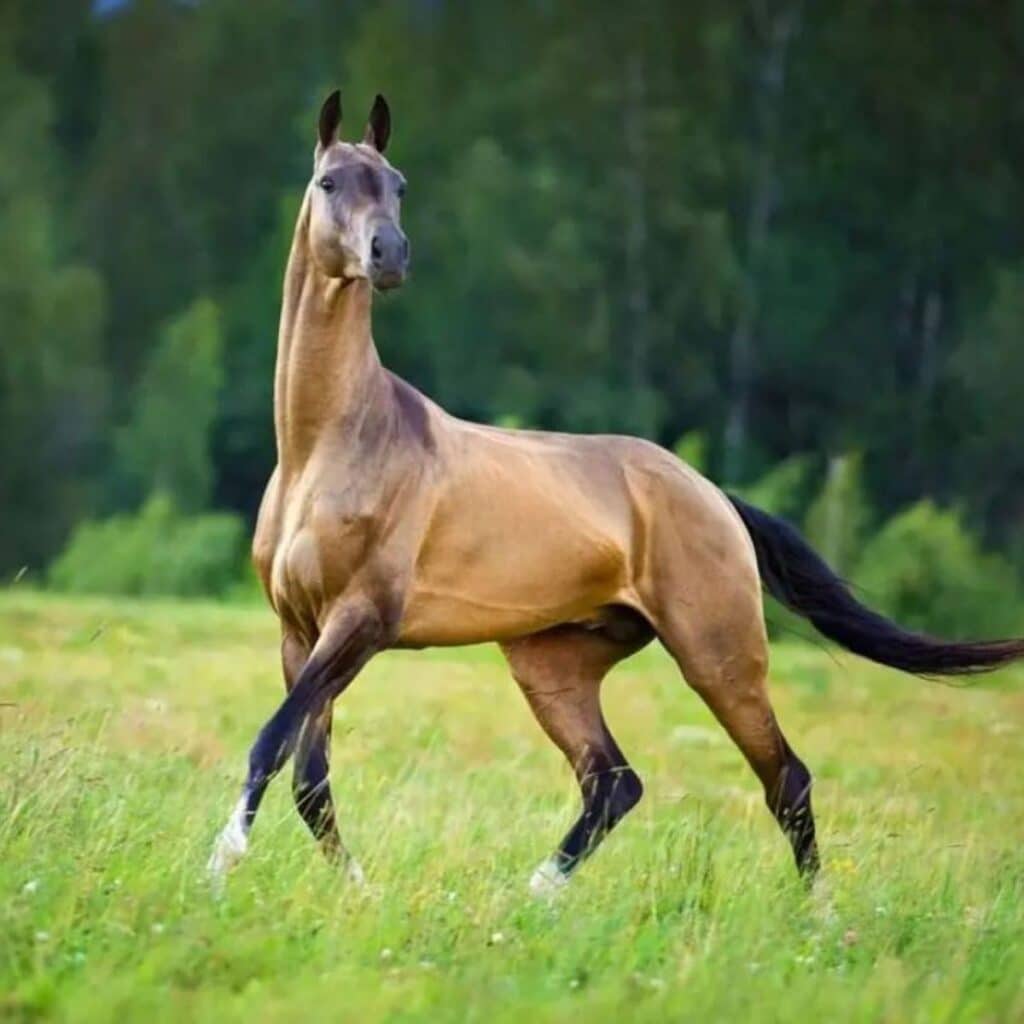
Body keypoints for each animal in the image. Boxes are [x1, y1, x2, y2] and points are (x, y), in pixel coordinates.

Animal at [208, 90, 1024, 894]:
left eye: (398, 185)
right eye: (329, 182)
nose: (390, 255)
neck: (329, 447)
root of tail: (714, 497)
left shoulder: (361, 623)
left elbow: (272, 743)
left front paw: (222, 865)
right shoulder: (301, 632)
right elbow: (308, 776)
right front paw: (354, 890)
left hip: (718, 654)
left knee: (783, 777)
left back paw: (818, 916)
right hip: (554, 667)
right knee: (613, 782)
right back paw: (535, 897)